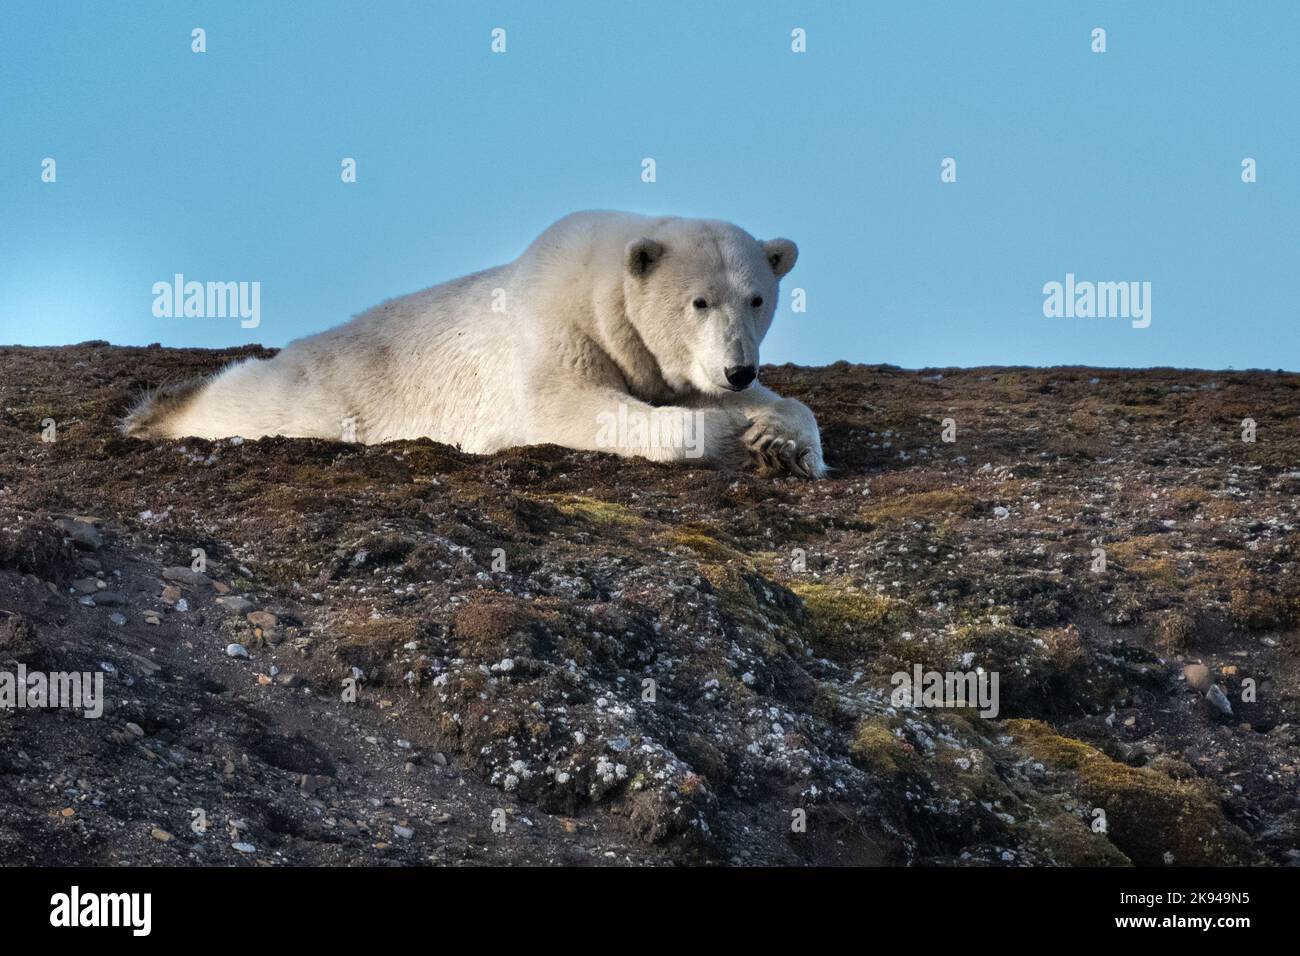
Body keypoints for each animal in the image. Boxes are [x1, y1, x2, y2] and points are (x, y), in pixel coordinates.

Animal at [124, 210, 826, 477]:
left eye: (756, 299)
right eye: (698, 302)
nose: (737, 370)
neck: (598, 287)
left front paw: (780, 436)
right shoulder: (554, 333)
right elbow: (571, 410)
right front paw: (735, 437)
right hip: (304, 396)